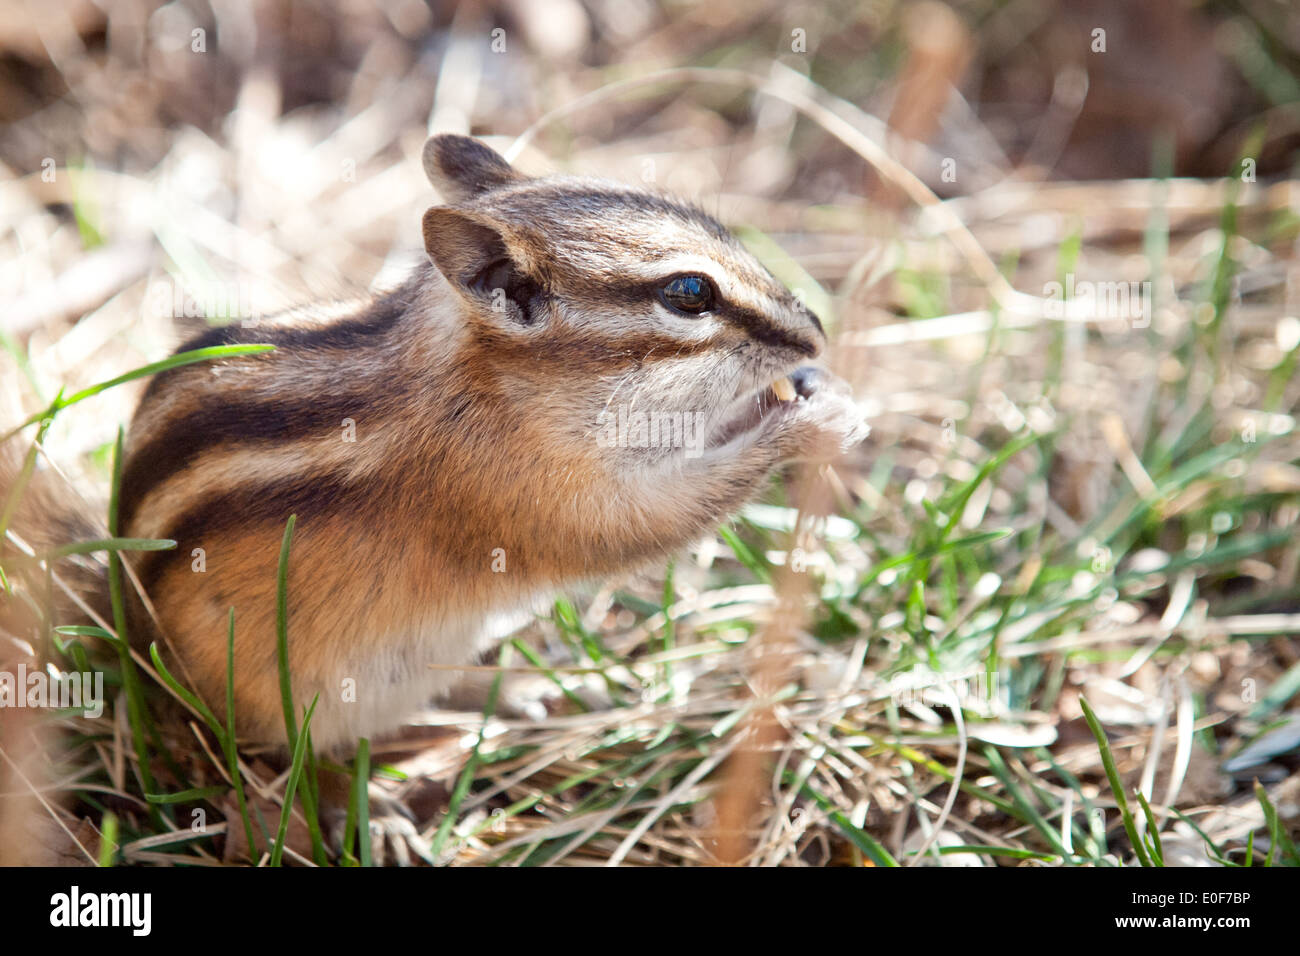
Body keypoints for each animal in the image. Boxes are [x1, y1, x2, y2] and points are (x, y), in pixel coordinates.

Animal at [9, 134, 869, 759]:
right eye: (688, 294)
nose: (814, 331)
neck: (486, 380)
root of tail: (128, 631)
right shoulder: (522, 496)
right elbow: (646, 525)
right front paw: (810, 423)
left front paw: (814, 389)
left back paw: (517, 691)